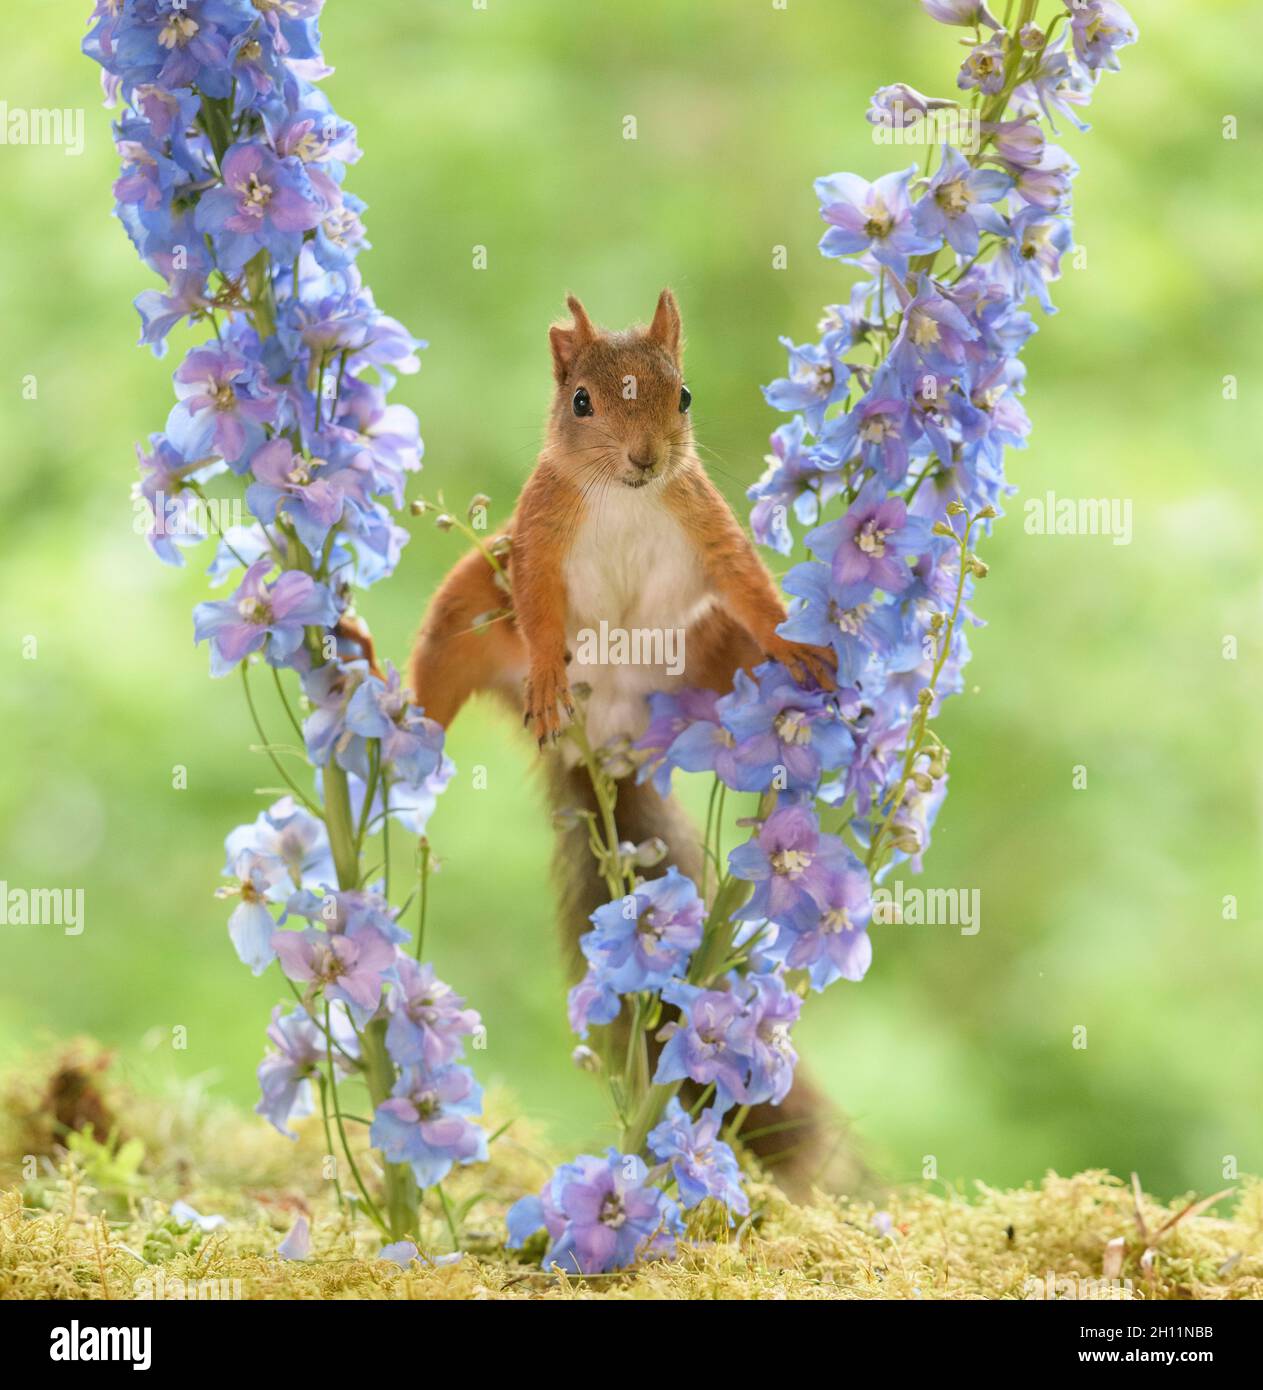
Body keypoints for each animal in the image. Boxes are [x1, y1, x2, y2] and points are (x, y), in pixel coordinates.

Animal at [409, 292, 854, 1192]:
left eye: (681, 394)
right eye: (580, 401)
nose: (646, 459)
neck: (621, 497)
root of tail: (608, 743)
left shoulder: (705, 521)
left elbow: (749, 583)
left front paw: (794, 643)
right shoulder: (536, 538)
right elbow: (541, 610)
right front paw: (550, 673)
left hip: (707, 652)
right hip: (470, 602)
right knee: (437, 670)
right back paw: (389, 724)